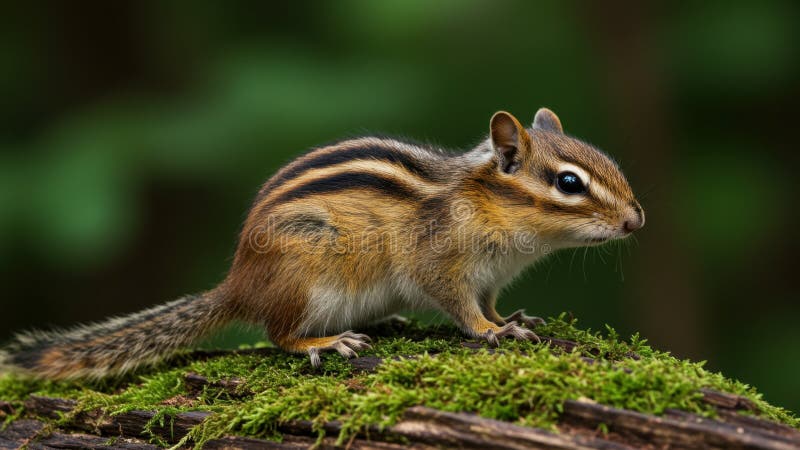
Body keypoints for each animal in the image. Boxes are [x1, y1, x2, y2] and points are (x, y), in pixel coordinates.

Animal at [0, 108, 644, 379]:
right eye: (568, 184)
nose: (637, 221)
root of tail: (238, 283)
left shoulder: (490, 276)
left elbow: (488, 301)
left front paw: (512, 318)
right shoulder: (440, 263)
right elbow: (460, 307)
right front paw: (492, 332)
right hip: (309, 274)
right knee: (277, 334)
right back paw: (325, 341)